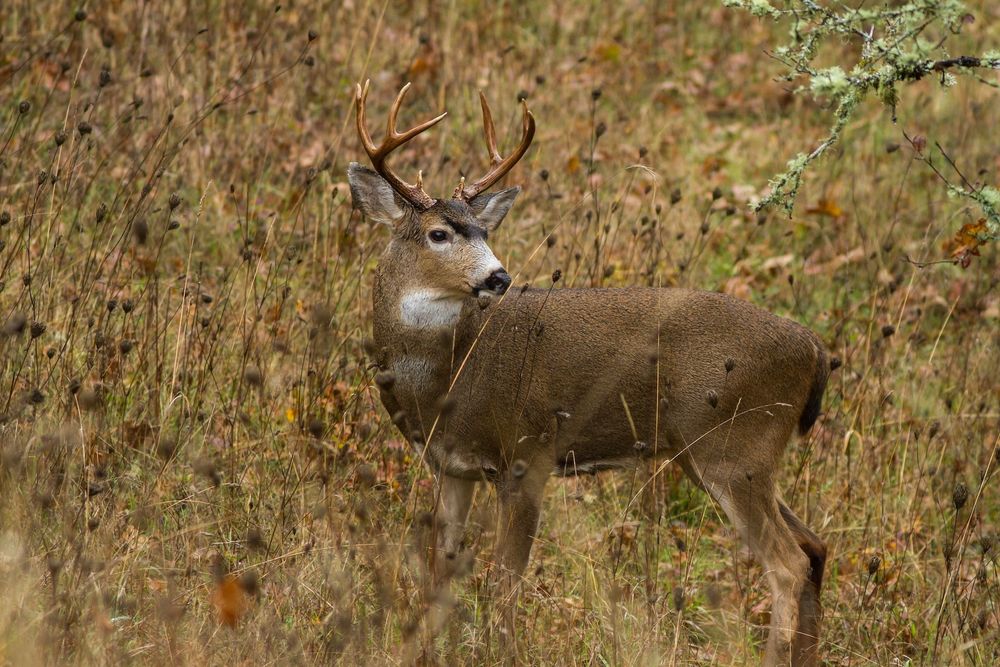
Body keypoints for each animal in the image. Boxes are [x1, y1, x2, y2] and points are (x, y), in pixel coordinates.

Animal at [348, 80, 833, 666]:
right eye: (439, 233)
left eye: (483, 229)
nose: (498, 277)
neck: (451, 377)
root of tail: (812, 347)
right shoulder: (451, 467)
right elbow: (440, 572)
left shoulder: (528, 454)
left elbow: (504, 581)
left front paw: (504, 652)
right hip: (726, 455)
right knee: (814, 547)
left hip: (735, 447)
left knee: (788, 564)